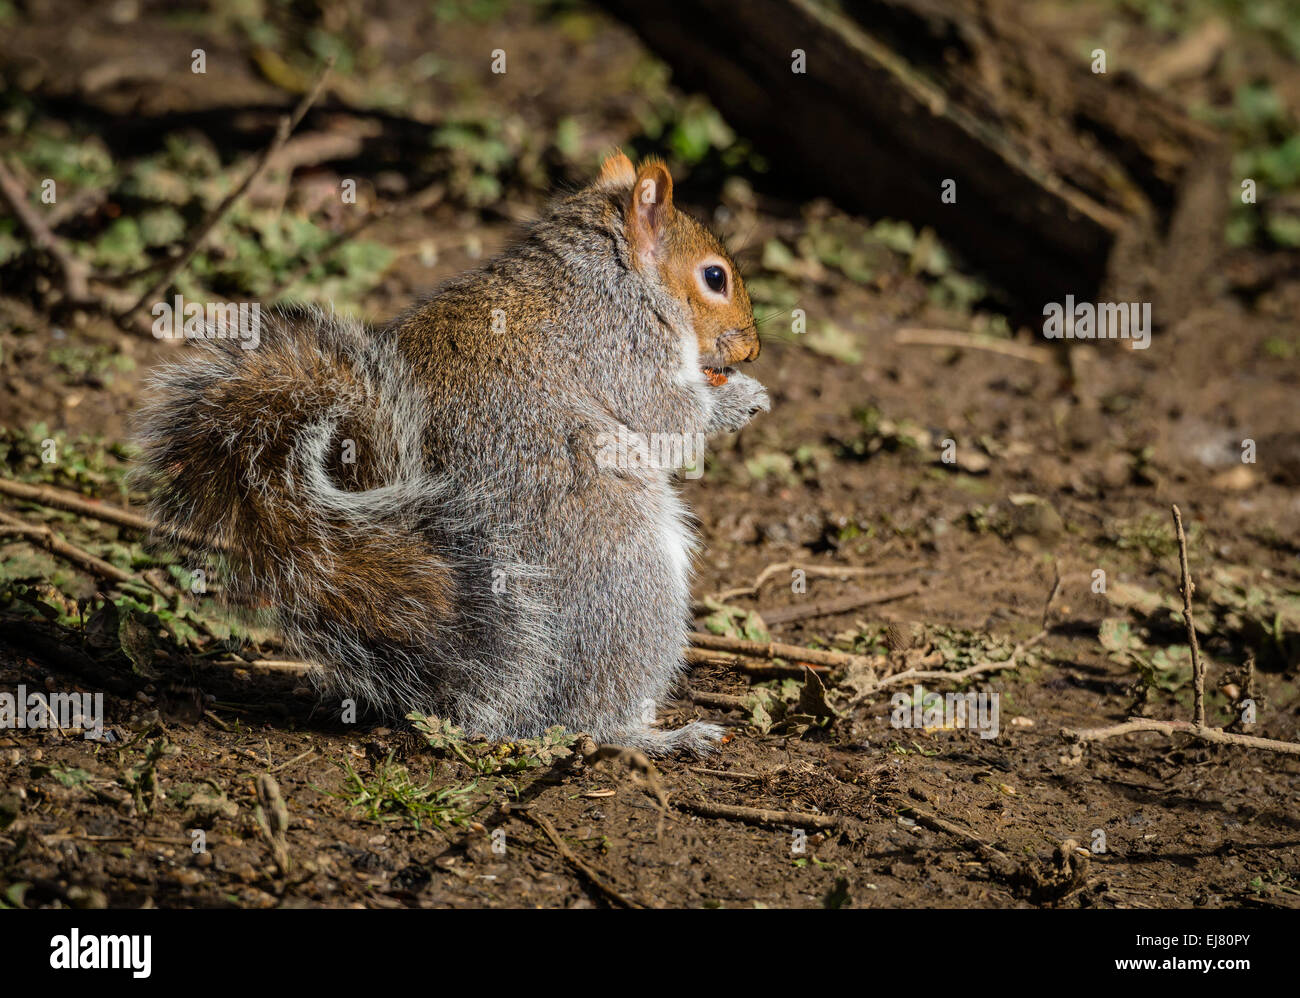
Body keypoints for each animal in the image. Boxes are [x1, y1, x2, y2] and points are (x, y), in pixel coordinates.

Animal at [132, 151, 769, 755]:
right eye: (714, 277)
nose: (753, 350)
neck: (610, 274)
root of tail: (476, 704)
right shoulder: (620, 346)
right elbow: (668, 418)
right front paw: (739, 400)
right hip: (627, 573)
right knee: (586, 719)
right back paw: (653, 737)